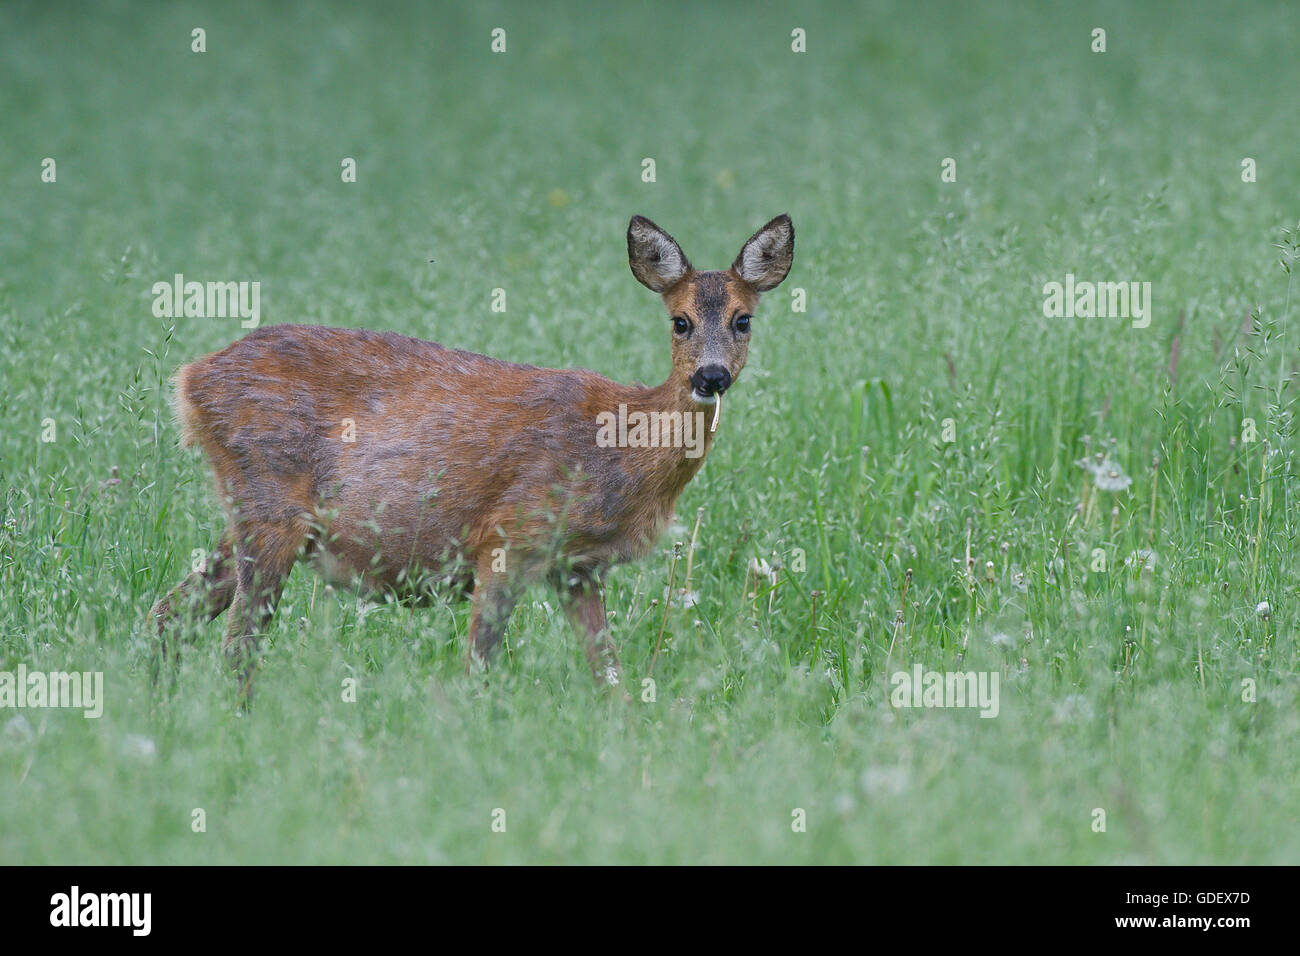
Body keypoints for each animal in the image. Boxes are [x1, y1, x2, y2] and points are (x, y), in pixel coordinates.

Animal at [149, 214, 794, 696]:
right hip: (271, 500)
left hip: (250, 510)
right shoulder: (511, 534)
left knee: (172, 613)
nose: (710, 377)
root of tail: (190, 380)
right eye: (680, 322)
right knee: (237, 643)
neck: (622, 443)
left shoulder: (576, 567)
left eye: (743, 320)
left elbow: (609, 673)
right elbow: (478, 668)